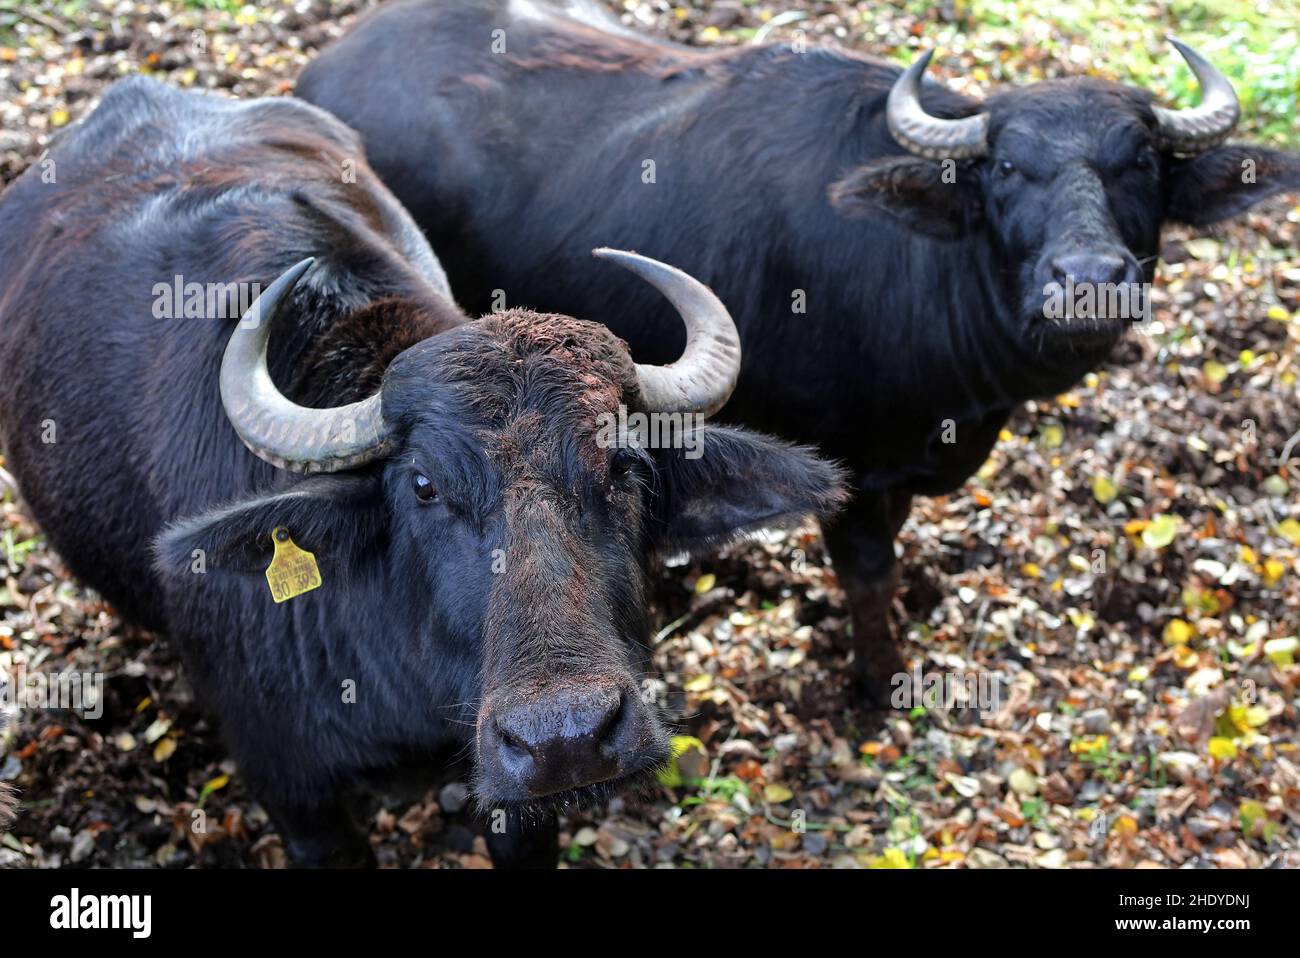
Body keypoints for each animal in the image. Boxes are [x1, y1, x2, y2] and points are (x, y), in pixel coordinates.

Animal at [298, 0, 1300, 702]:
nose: (1090, 277)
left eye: (1142, 162)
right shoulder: (847, 465)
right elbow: (867, 571)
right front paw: (876, 682)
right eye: (1010, 169)